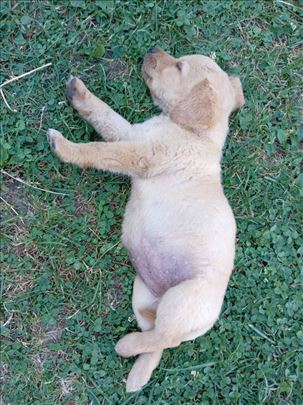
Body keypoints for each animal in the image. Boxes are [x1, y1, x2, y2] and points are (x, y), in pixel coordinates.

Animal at [48, 47, 246, 392]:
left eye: (179, 66)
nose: (153, 50)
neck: (193, 133)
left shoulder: (139, 153)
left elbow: (97, 150)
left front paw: (64, 146)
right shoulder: (133, 134)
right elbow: (106, 115)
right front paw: (79, 93)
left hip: (180, 301)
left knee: (166, 338)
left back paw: (125, 346)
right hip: (142, 297)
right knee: (156, 339)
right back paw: (138, 371)